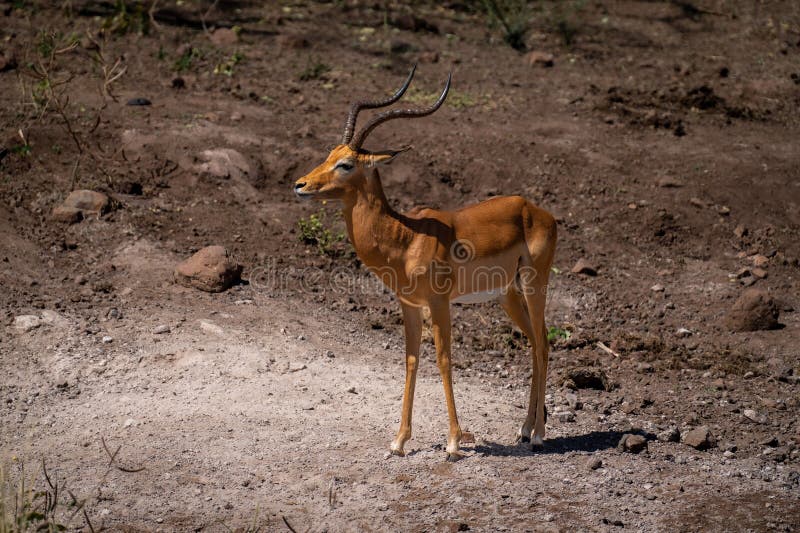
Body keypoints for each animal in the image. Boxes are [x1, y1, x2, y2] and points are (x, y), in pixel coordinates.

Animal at [294, 67, 557, 460]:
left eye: (346, 163)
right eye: (330, 154)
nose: (300, 184)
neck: (406, 238)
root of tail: (537, 211)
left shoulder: (439, 302)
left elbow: (444, 359)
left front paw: (453, 442)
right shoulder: (409, 304)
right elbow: (411, 359)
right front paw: (399, 441)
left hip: (534, 284)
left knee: (542, 343)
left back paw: (539, 434)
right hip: (508, 295)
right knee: (533, 343)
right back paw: (525, 430)